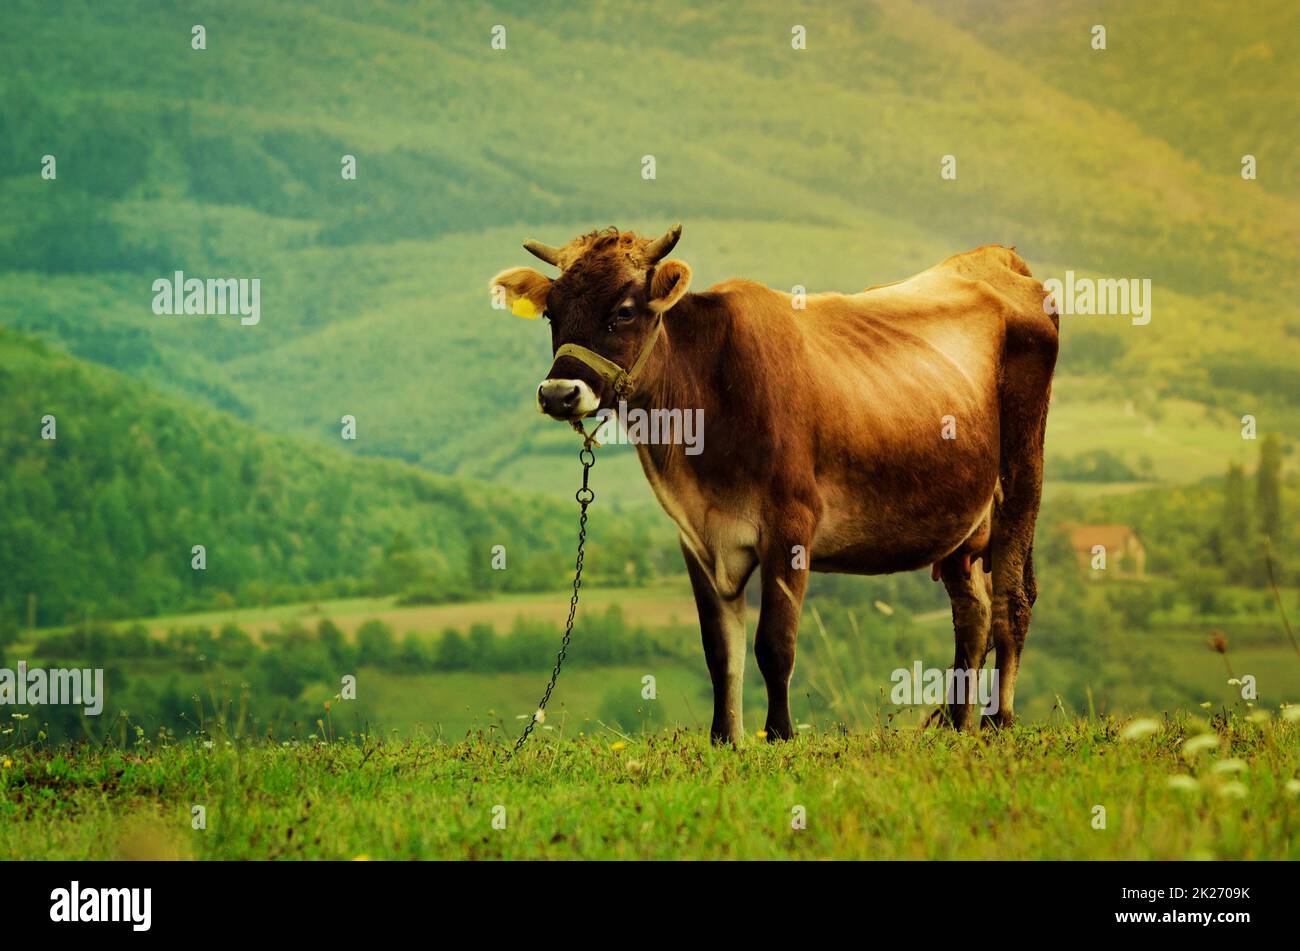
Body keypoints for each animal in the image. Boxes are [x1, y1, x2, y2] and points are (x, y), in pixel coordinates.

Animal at [491, 225, 1059, 743]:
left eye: (625, 311)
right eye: (551, 312)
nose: (559, 394)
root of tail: (993, 259)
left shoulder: (791, 522)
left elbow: (774, 643)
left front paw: (780, 734)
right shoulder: (697, 535)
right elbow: (720, 650)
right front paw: (725, 739)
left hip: (1022, 474)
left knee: (1011, 601)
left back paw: (998, 722)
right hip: (963, 518)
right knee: (972, 613)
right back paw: (957, 725)